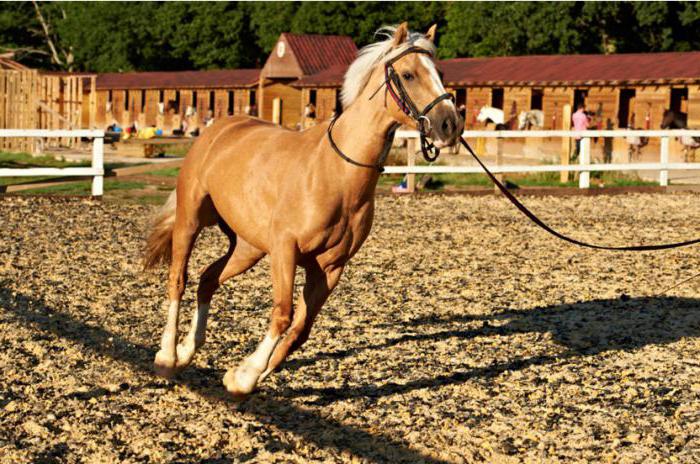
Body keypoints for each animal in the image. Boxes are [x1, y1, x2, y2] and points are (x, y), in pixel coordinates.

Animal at [143, 22, 462, 398]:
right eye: (409, 74)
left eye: (439, 72)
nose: (450, 125)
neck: (335, 174)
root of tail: (218, 129)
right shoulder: (286, 250)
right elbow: (283, 313)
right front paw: (247, 375)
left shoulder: (330, 267)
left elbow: (300, 330)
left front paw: (244, 374)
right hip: (191, 221)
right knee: (178, 280)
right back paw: (167, 356)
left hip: (247, 247)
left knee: (207, 280)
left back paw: (186, 351)